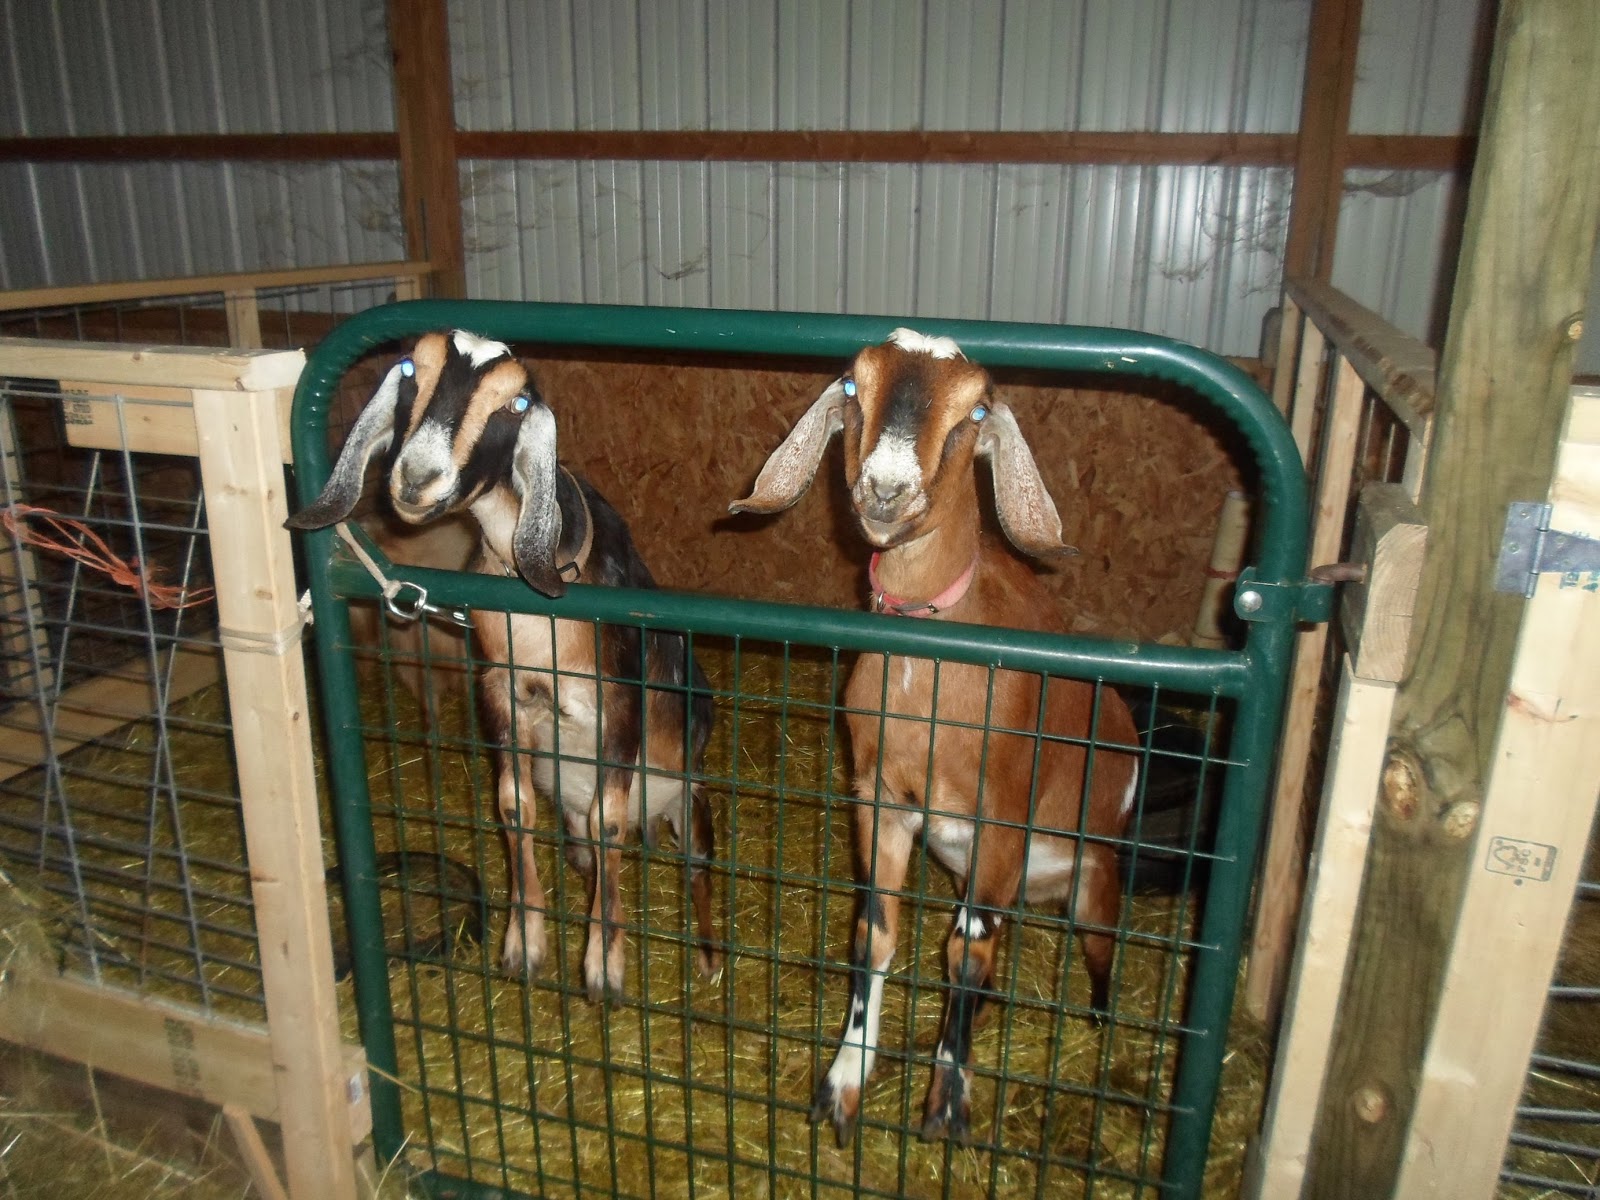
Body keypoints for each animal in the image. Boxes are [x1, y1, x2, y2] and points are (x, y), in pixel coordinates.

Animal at [288, 329, 719, 1001]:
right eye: (410, 369)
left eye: (515, 405)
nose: (417, 477)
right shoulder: (501, 692)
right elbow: (513, 810)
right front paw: (524, 944)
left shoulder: (619, 703)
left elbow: (611, 822)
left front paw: (604, 966)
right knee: (586, 852)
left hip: (692, 801)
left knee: (696, 865)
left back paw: (707, 960)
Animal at [731, 328, 1139, 1146]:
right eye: (851, 388)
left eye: (977, 410)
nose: (886, 491)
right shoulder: (878, 799)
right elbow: (874, 935)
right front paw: (842, 1084)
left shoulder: (1001, 817)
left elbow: (966, 953)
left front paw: (947, 1103)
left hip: (1094, 878)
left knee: (1098, 951)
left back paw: (1099, 1030)